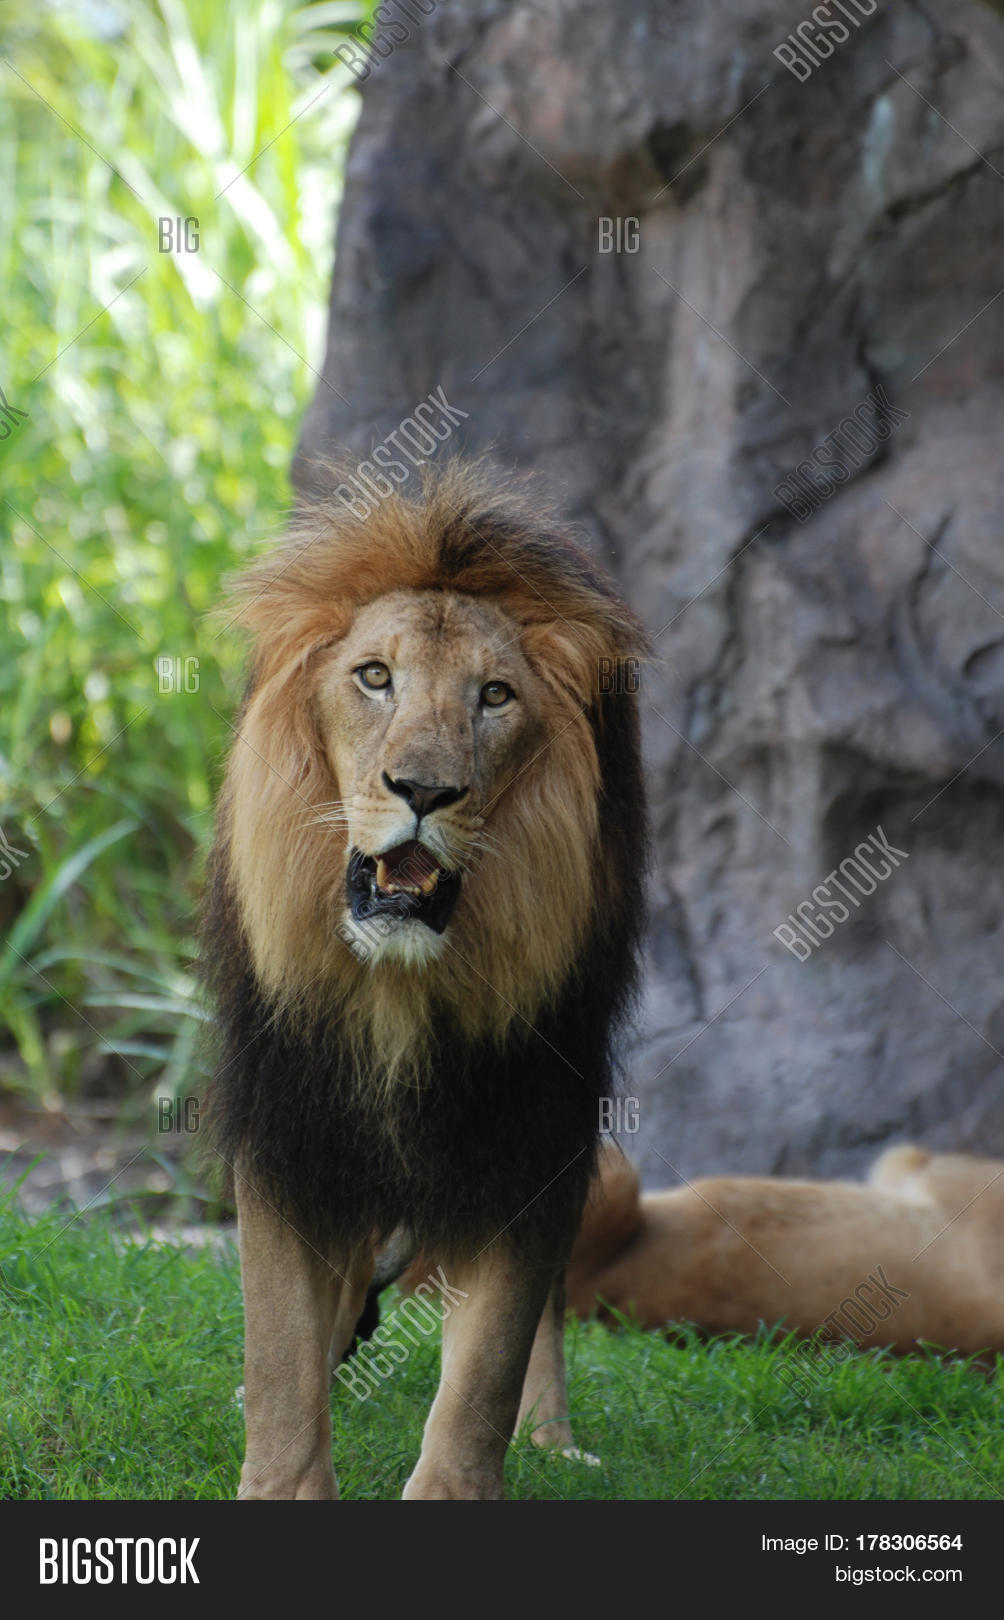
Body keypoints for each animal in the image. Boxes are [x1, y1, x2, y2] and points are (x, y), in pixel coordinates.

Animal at [201, 462, 648, 1499]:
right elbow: (279, 1356)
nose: (424, 791)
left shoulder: (529, 1138)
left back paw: (552, 1437)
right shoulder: (291, 1127)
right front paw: (280, 1467)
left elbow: (486, 1371)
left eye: (495, 696)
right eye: (376, 677)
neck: (401, 989)